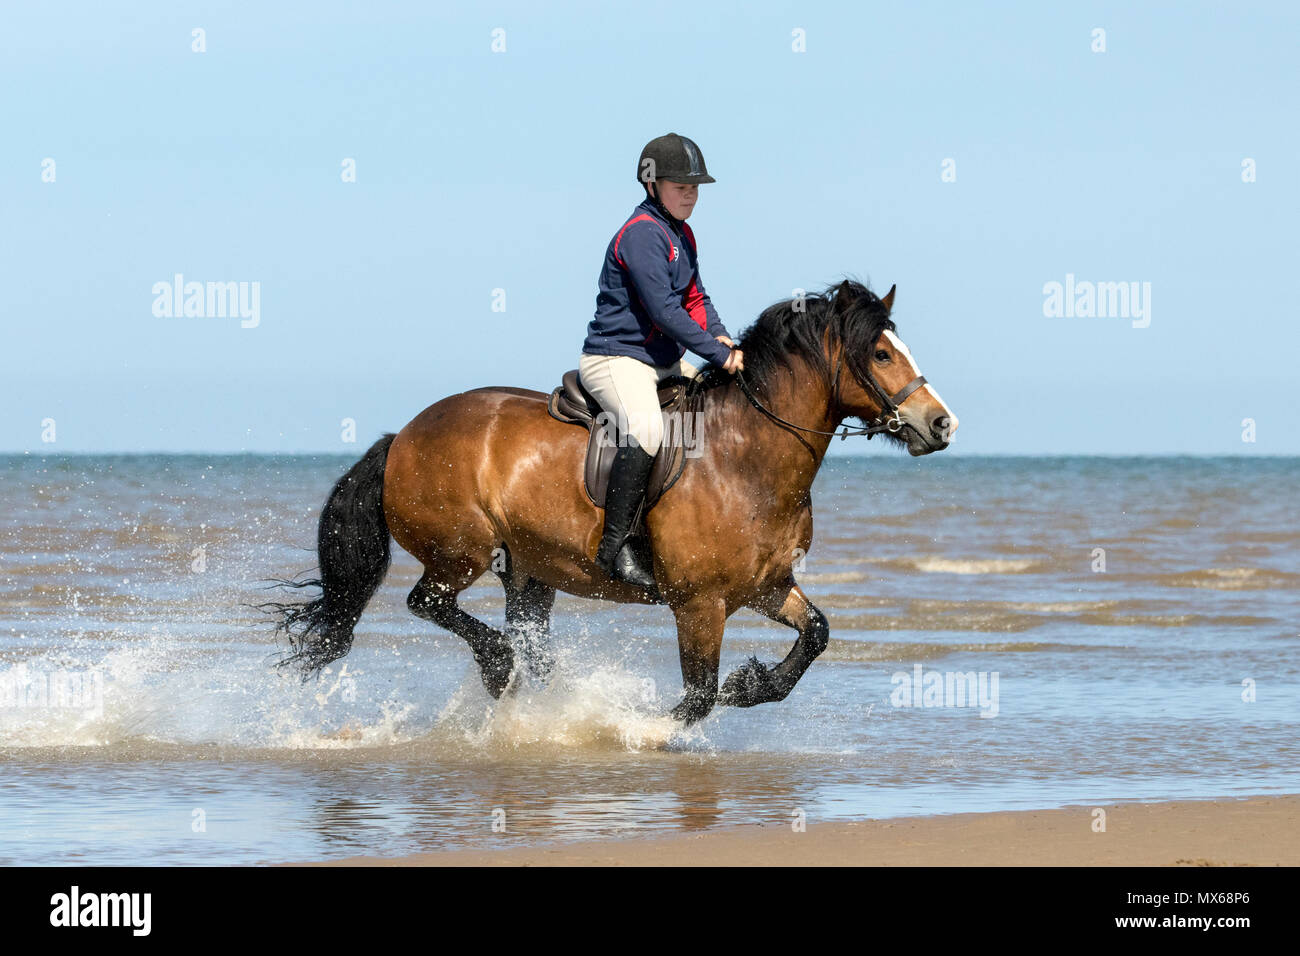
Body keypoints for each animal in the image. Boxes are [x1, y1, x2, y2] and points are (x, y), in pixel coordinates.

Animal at [263, 279, 958, 724]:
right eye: (881, 353)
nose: (941, 424)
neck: (746, 458)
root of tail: (402, 436)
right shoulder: (700, 604)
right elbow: (697, 697)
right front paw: (652, 730)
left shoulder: (766, 586)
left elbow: (815, 633)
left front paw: (752, 683)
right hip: (461, 551)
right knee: (430, 604)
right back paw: (497, 666)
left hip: (528, 569)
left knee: (527, 641)